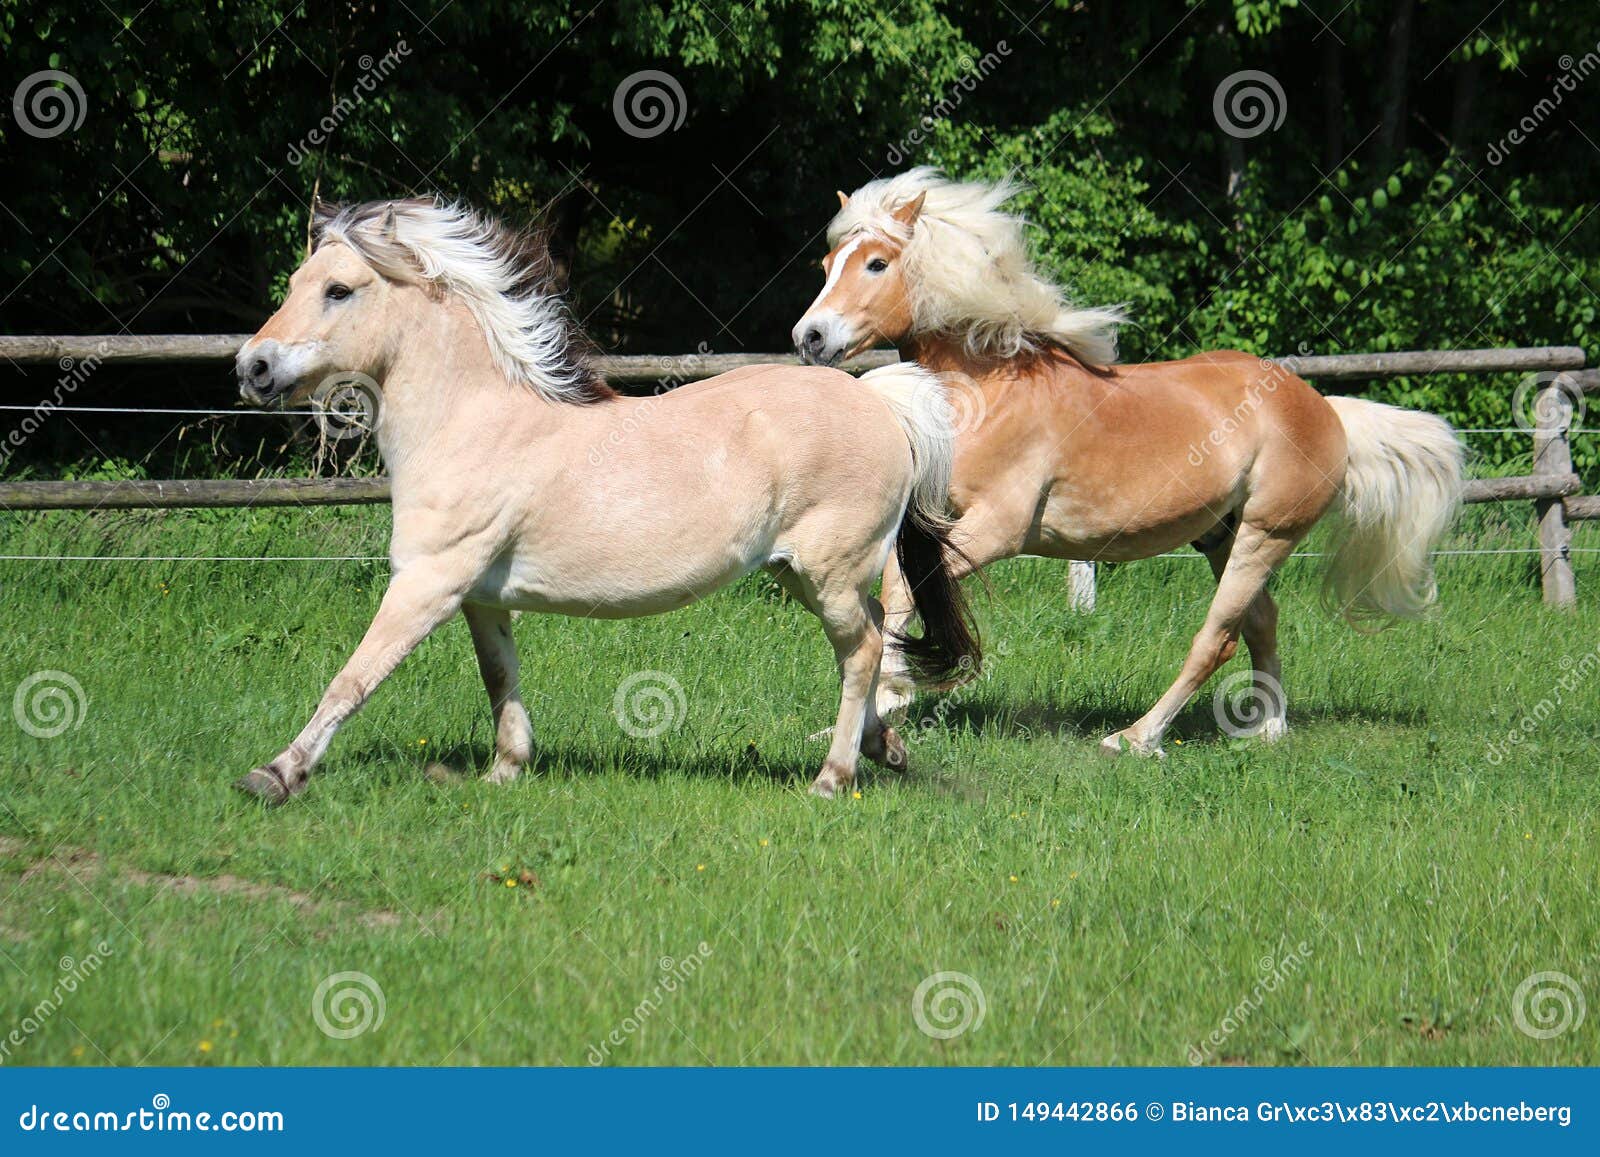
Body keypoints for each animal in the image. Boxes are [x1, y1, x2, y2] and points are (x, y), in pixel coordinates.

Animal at [233, 196, 979, 802]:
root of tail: (880, 402)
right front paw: (506, 769)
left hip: (830, 573)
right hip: (803, 574)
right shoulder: (479, 597)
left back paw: (833, 777)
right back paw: (885, 748)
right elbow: (498, 674)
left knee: (861, 650)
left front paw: (275, 773)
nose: (253, 367)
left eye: (338, 290)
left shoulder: (428, 582)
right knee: (874, 633)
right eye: (296, 284)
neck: (472, 424)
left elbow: (353, 677)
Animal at [792, 168, 1464, 757]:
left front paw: (889, 700)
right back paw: (1269, 732)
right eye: (827, 266)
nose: (809, 338)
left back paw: (1136, 738)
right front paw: (860, 718)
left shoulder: (996, 529)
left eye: (876, 264)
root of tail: (1326, 410)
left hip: (1265, 535)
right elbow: (895, 593)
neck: (985, 392)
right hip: (1222, 537)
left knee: (1217, 640)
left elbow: (900, 591)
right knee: (1263, 623)